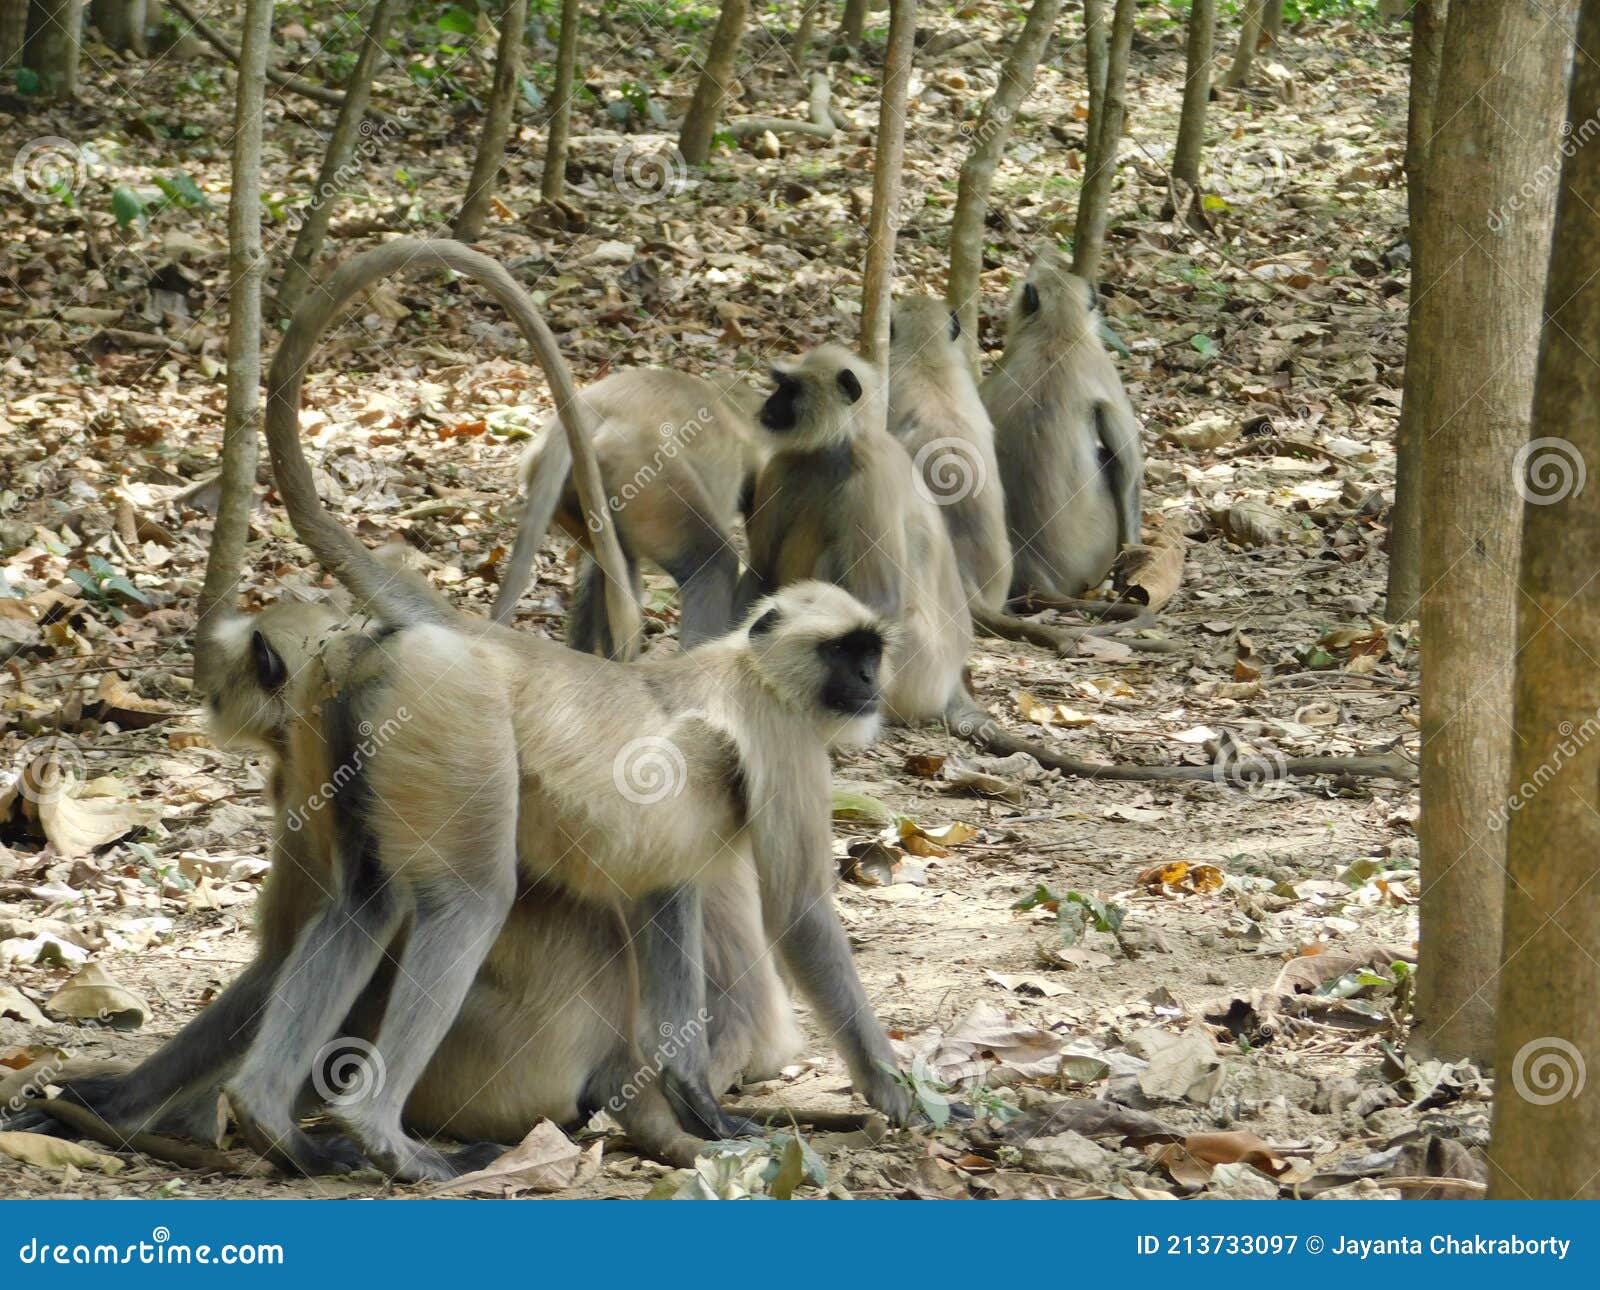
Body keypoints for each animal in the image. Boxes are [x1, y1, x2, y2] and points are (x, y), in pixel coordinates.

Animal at [29, 599, 801, 1174]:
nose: (210, 695)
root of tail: (614, 1055)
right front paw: (110, 1102)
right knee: (385, 906)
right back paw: (285, 1121)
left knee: (442, 903)